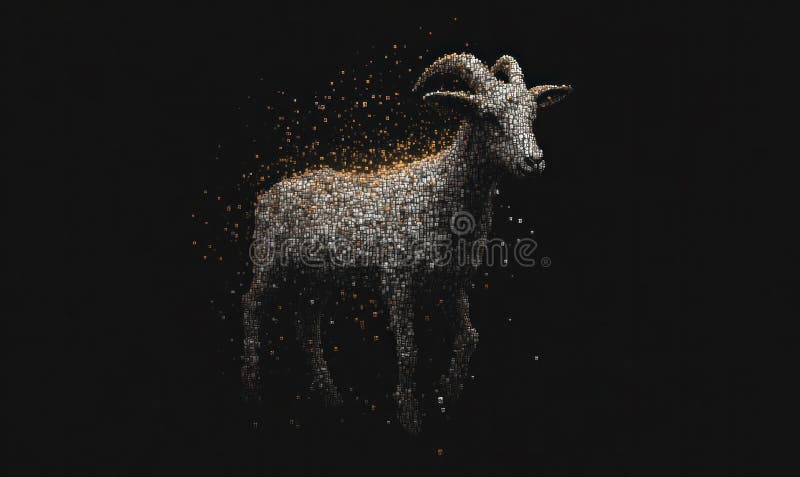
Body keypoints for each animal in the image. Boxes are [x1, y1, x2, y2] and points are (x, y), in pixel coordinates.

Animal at [242, 53, 572, 435]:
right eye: (487, 115)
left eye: (533, 115)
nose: (534, 161)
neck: (441, 188)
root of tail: (268, 194)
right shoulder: (397, 280)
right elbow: (409, 349)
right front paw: (410, 415)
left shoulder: (453, 282)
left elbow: (469, 336)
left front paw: (446, 395)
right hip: (269, 261)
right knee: (252, 305)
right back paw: (252, 388)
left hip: (318, 279)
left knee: (306, 324)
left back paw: (331, 396)